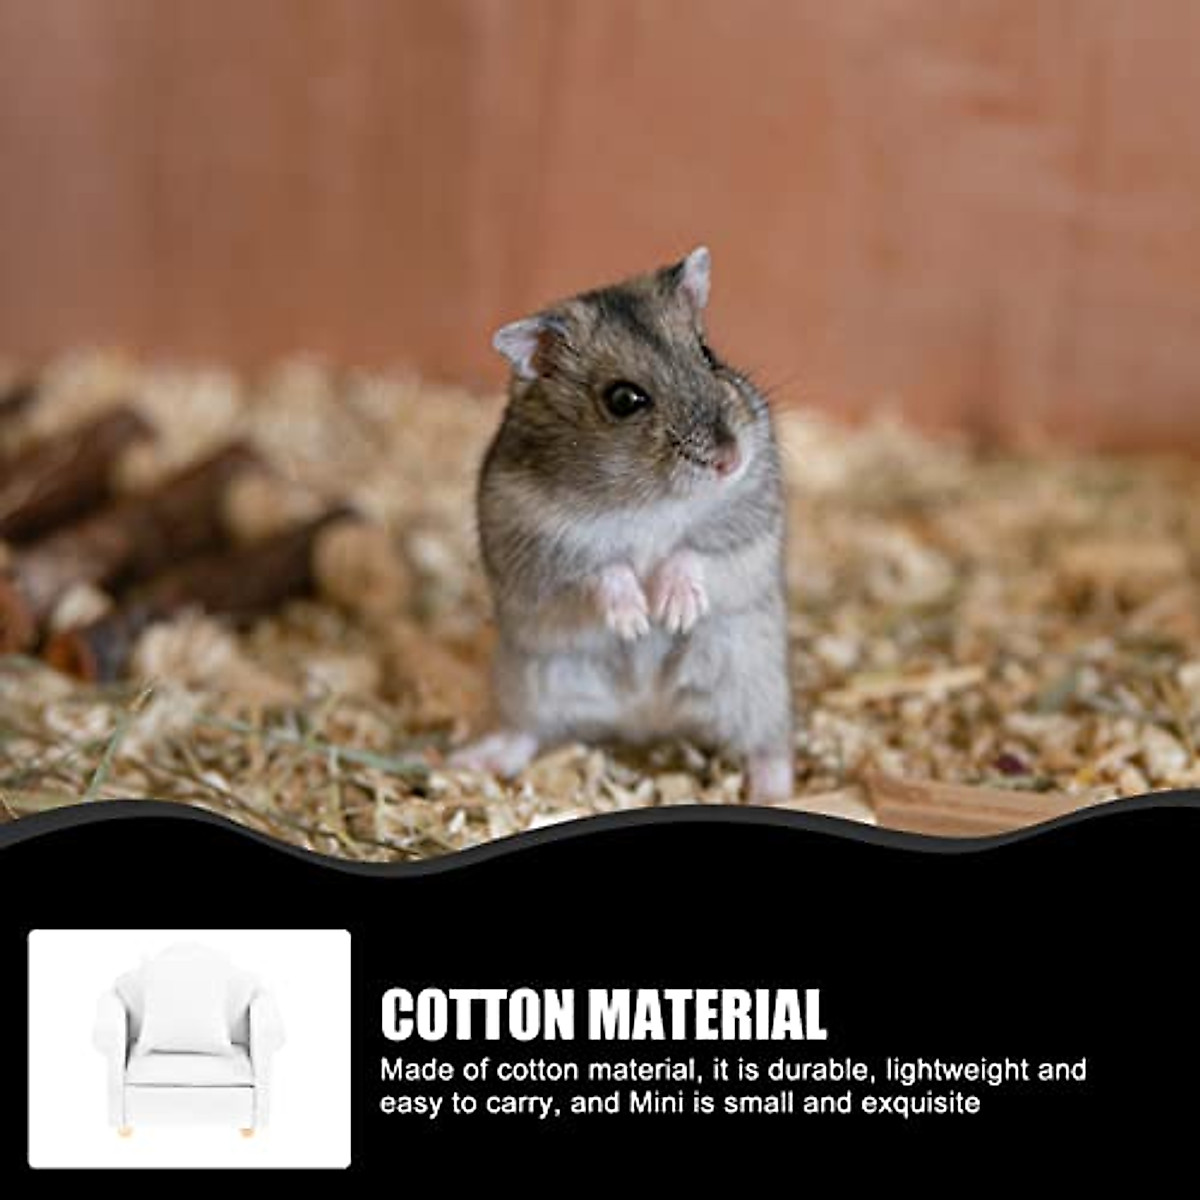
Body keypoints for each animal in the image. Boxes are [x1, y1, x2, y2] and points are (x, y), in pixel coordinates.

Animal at [451, 247, 794, 802]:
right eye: (623, 400)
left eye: (708, 353)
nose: (730, 460)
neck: (648, 500)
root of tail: (645, 718)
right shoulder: (540, 545)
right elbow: (602, 569)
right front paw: (635, 622)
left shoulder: (747, 523)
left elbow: (692, 552)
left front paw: (672, 614)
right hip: (532, 682)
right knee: (526, 732)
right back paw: (469, 760)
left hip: (753, 680)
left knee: (770, 745)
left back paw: (774, 792)